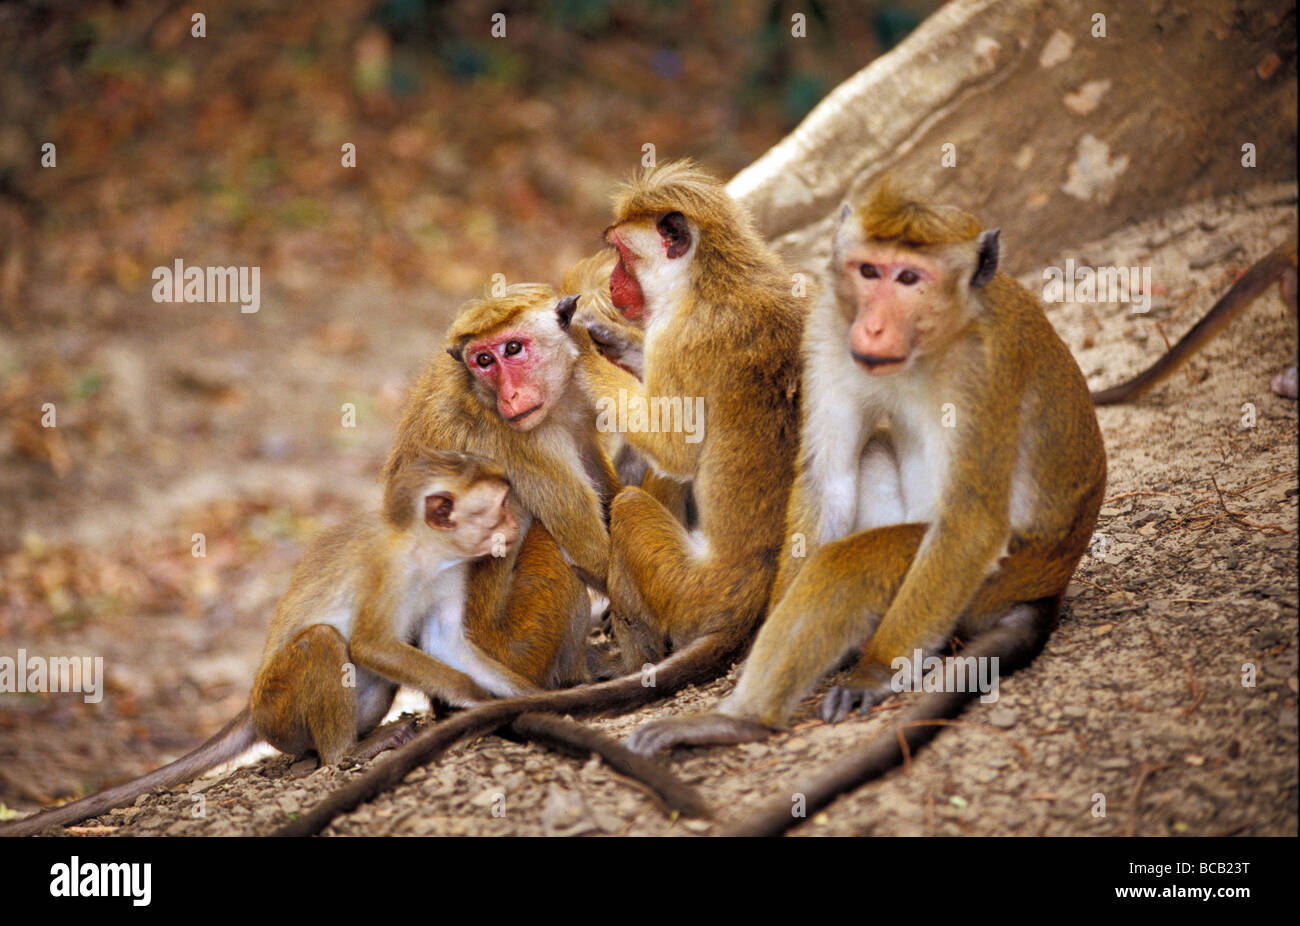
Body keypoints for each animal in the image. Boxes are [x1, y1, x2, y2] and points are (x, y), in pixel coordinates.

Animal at [0, 449, 539, 837]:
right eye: (501, 507)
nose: (514, 527)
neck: (424, 548)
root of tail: (252, 706)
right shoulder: (386, 570)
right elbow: (370, 646)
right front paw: (475, 696)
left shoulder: (452, 572)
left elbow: (446, 643)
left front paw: (530, 695)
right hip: (277, 708)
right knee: (323, 642)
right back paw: (345, 754)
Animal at [564, 159, 803, 674]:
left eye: (622, 255)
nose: (612, 285)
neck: (707, 279)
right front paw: (610, 336)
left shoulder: (682, 336)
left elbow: (675, 445)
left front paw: (580, 341)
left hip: (686, 588)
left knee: (632, 505)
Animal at [623, 182, 1107, 838]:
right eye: (868, 271)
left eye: (910, 277)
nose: (874, 326)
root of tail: (1050, 586)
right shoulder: (831, 328)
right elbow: (827, 478)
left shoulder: (986, 372)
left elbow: (973, 519)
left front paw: (876, 671)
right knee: (866, 463)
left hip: (995, 578)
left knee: (856, 563)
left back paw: (749, 718)